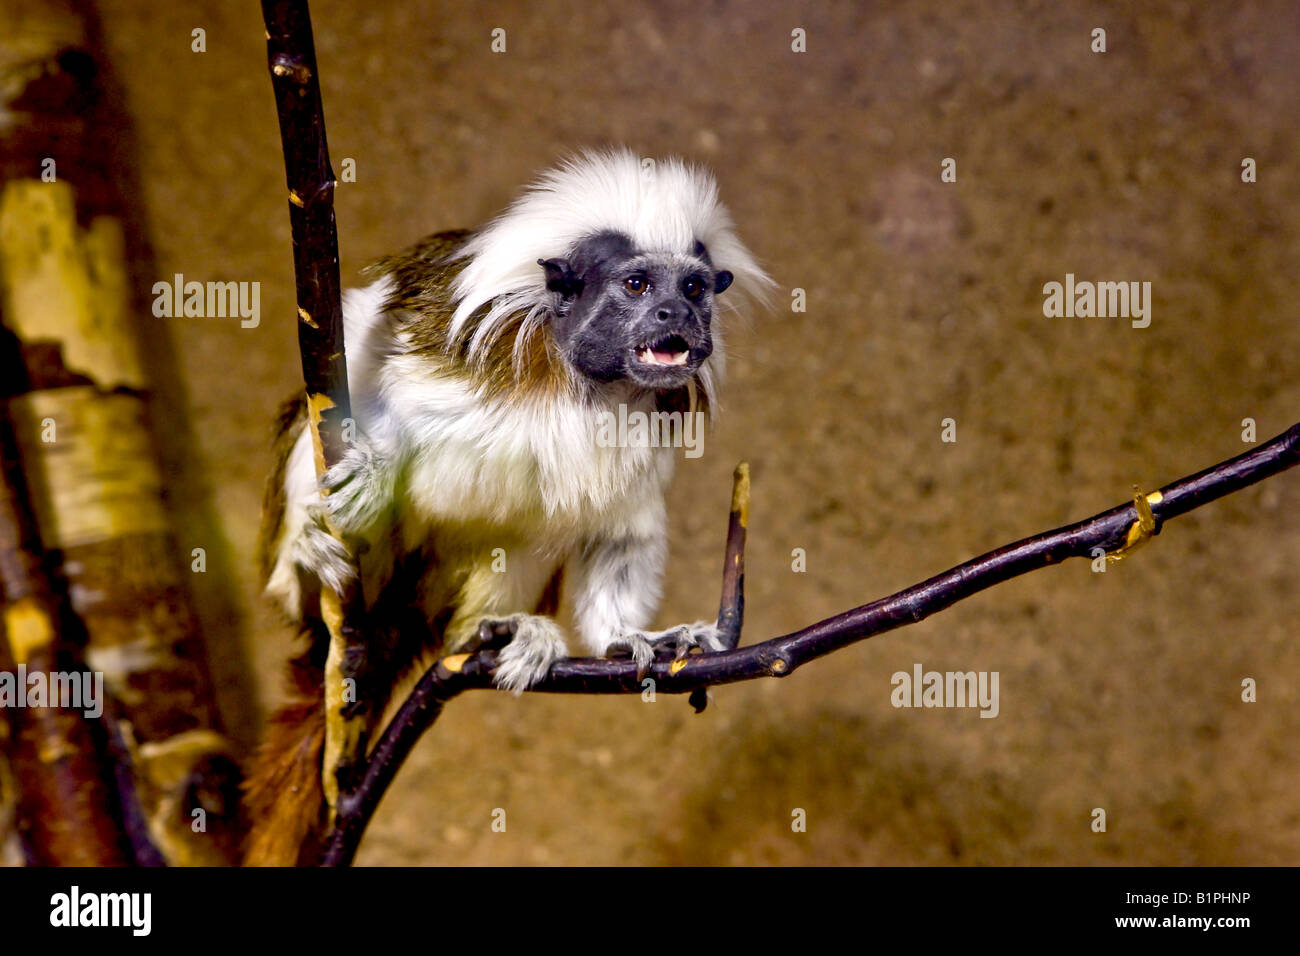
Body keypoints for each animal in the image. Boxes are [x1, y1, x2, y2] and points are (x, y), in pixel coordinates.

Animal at [243, 148, 770, 865]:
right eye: (637, 286)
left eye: (692, 290)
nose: (675, 316)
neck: (585, 386)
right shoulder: (445, 351)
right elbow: (375, 388)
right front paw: (372, 475)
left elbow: (622, 535)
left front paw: (630, 638)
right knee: (311, 441)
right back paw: (307, 567)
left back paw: (493, 632)